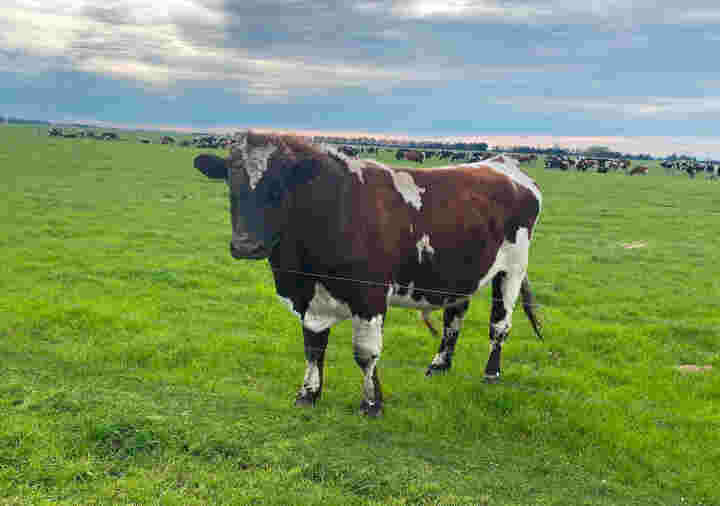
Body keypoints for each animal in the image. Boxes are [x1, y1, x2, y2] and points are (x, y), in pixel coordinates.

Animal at [194, 132, 543, 417]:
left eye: (279, 188)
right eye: (232, 184)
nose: (246, 245)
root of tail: (503, 164)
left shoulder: (370, 294)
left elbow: (365, 353)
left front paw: (372, 403)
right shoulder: (311, 299)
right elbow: (314, 346)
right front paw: (308, 394)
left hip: (512, 269)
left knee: (499, 325)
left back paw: (491, 373)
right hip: (460, 275)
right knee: (453, 320)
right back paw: (439, 366)